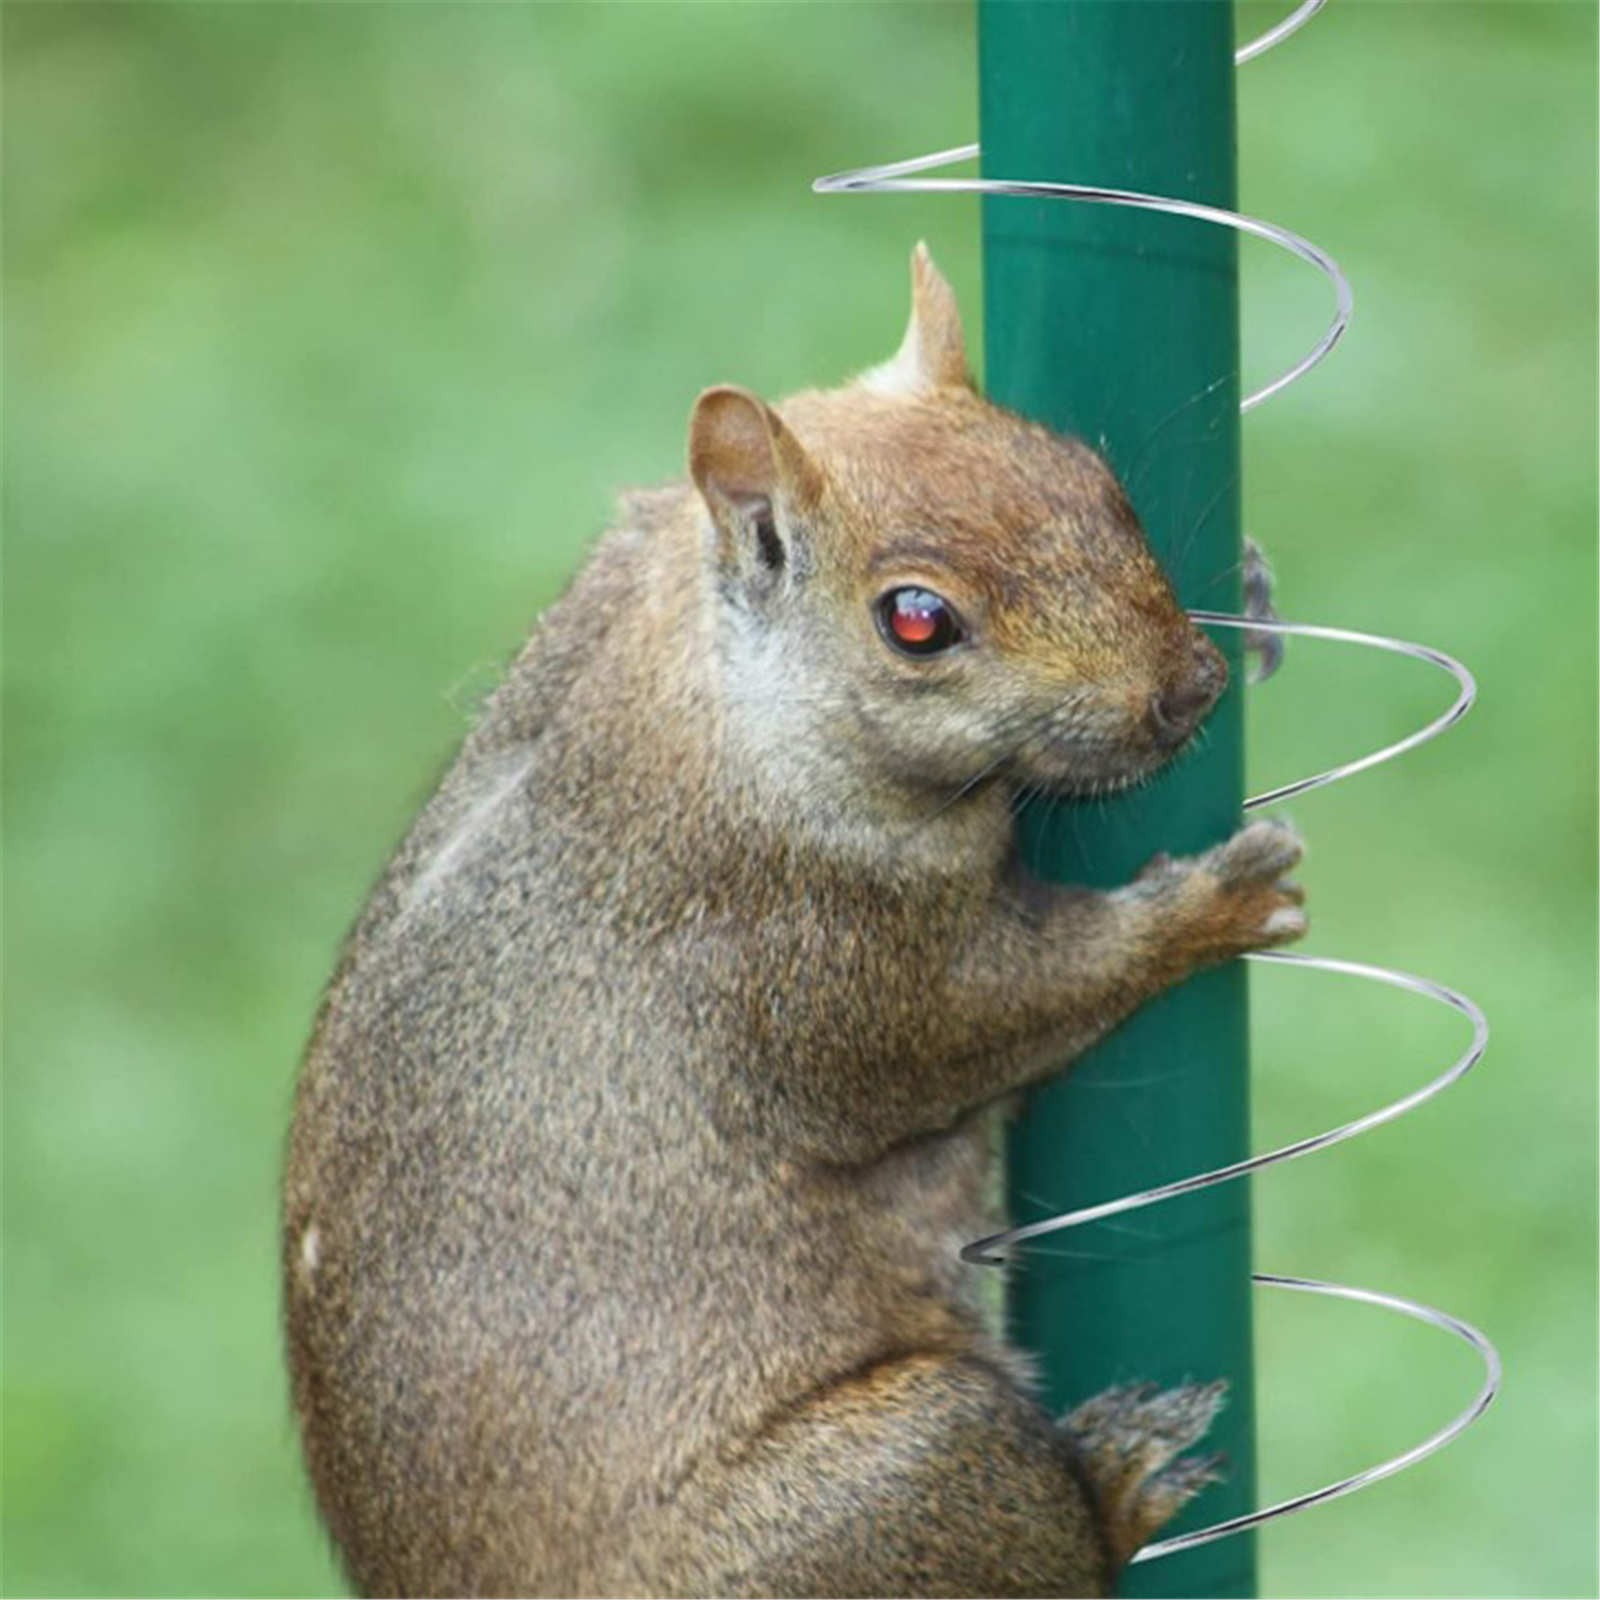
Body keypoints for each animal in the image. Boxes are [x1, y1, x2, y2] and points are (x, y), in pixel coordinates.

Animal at [282, 244, 1307, 1599]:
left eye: (1096, 482)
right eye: (916, 621)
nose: (1184, 689)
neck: (728, 701)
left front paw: (1246, 585)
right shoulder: (809, 957)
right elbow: (1012, 1005)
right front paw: (1214, 903)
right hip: (917, 1471)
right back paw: (1117, 1489)